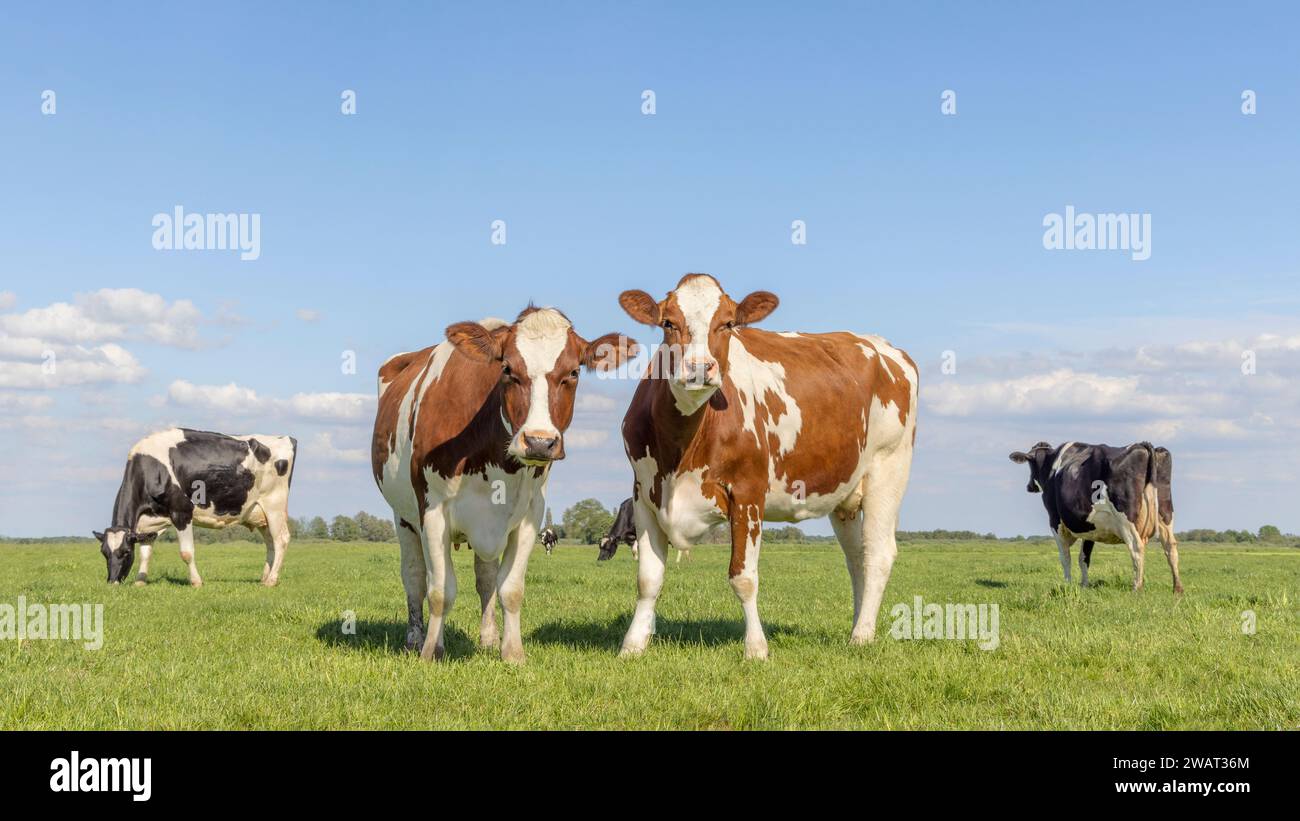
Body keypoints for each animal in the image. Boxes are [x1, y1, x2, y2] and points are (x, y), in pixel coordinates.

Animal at [93, 428, 297, 587]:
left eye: (126, 552)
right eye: (104, 552)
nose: (112, 582)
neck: (152, 468)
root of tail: (285, 438)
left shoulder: (181, 512)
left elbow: (186, 553)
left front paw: (196, 582)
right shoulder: (150, 523)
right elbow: (146, 552)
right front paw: (140, 581)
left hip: (274, 505)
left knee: (281, 540)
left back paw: (271, 581)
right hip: (259, 513)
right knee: (270, 542)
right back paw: (265, 578)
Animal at [372, 306, 636, 663]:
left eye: (574, 372)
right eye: (508, 369)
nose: (539, 442)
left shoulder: (529, 515)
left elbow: (509, 588)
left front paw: (512, 652)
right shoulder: (433, 510)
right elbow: (440, 590)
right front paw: (431, 650)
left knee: (484, 579)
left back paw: (487, 637)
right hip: (404, 518)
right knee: (414, 578)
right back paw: (416, 639)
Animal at [616, 273, 919, 660]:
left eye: (728, 323)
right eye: (668, 323)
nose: (700, 367)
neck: (681, 449)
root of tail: (884, 346)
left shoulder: (748, 494)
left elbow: (743, 577)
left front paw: (756, 648)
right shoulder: (644, 495)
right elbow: (648, 579)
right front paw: (633, 645)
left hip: (888, 468)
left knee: (878, 554)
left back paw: (862, 635)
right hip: (845, 492)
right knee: (856, 558)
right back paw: (857, 625)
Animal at [1009, 441, 1182, 593]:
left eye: (1030, 464)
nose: (1029, 486)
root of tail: (1143, 445)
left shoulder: (1055, 521)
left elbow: (1065, 558)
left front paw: (1067, 585)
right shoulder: (1090, 527)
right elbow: (1084, 558)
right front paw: (1084, 585)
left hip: (1126, 519)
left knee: (1136, 547)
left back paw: (1136, 589)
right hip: (1165, 514)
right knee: (1170, 546)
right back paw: (1177, 589)